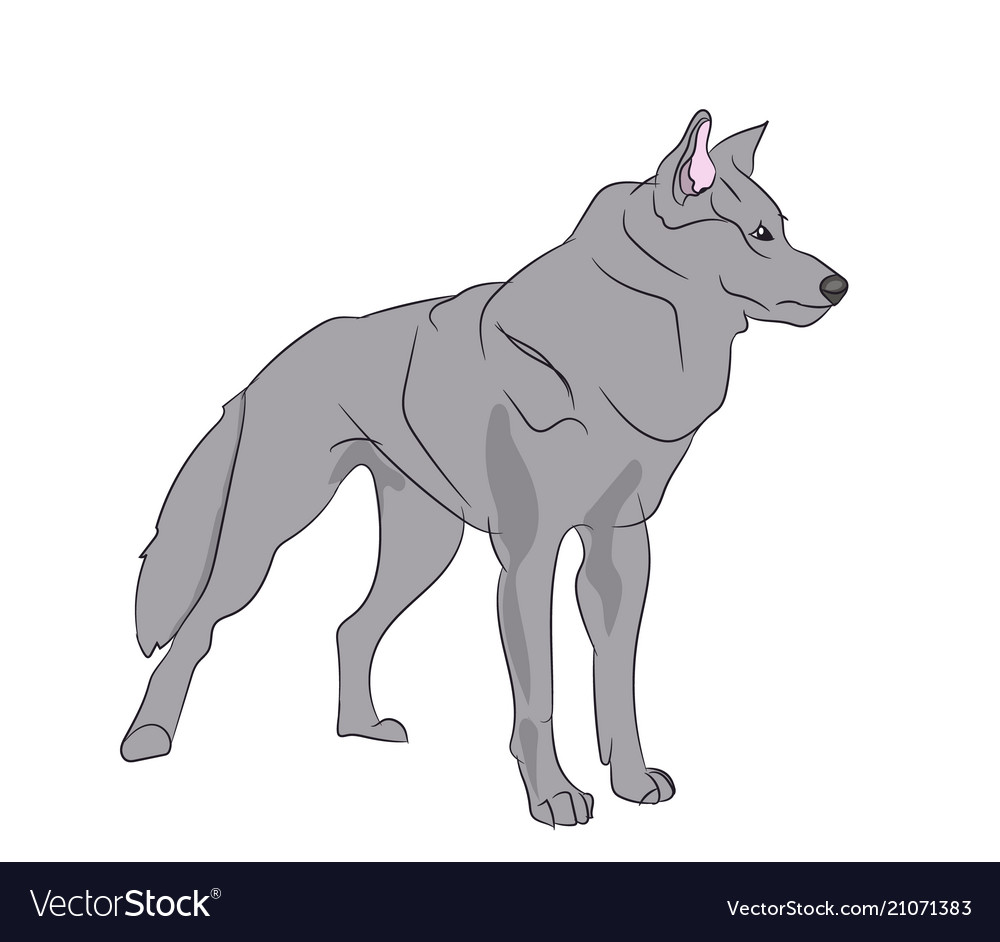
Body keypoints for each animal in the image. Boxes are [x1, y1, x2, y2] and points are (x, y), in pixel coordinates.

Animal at [122, 110, 847, 827]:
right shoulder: (531, 556)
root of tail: (265, 370)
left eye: (783, 227)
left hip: (423, 552)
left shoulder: (619, 550)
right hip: (261, 543)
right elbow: (542, 693)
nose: (838, 284)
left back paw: (360, 729)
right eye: (759, 234)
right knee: (196, 632)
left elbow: (617, 685)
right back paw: (148, 737)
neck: (621, 349)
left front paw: (632, 782)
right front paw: (553, 797)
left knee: (351, 627)